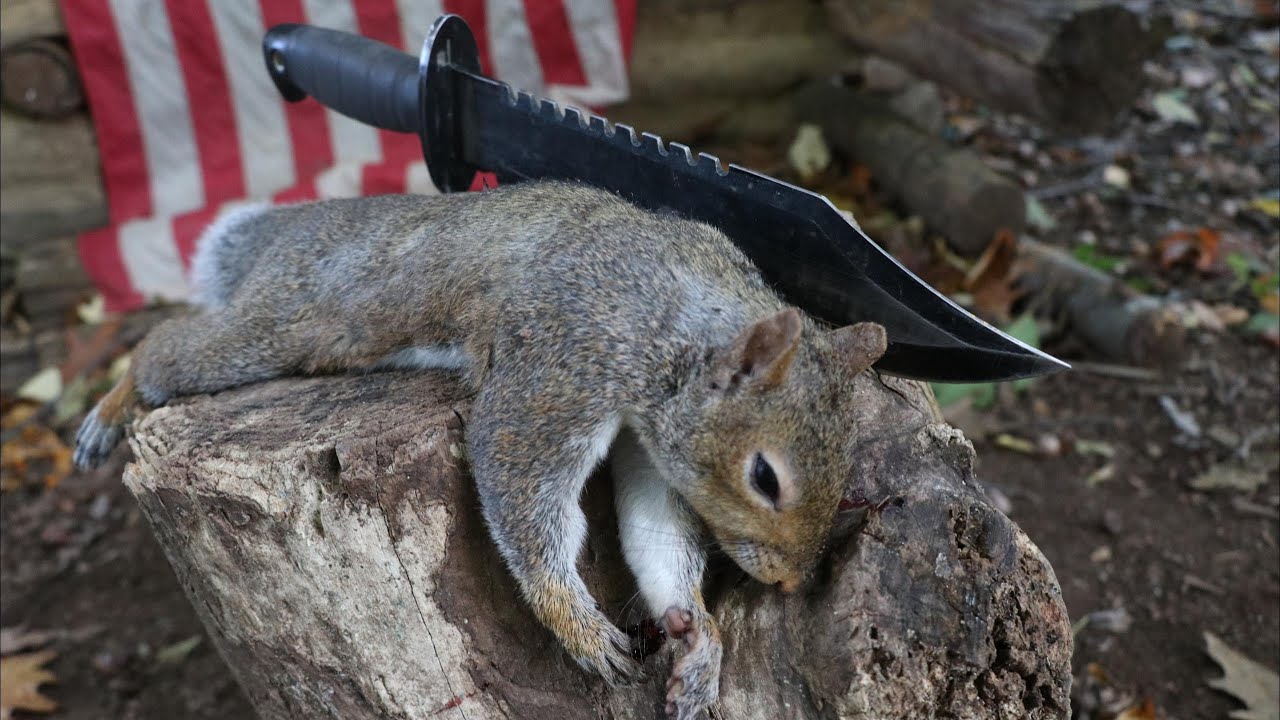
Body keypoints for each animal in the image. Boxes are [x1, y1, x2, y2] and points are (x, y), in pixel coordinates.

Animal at [73, 180, 887, 719]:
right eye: (764, 476)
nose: (789, 581)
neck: (675, 322)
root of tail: (300, 231)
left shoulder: (650, 444)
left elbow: (655, 532)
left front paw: (701, 642)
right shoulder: (560, 364)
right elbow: (520, 482)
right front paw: (576, 623)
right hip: (287, 324)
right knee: (169, 348)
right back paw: (111, 410)